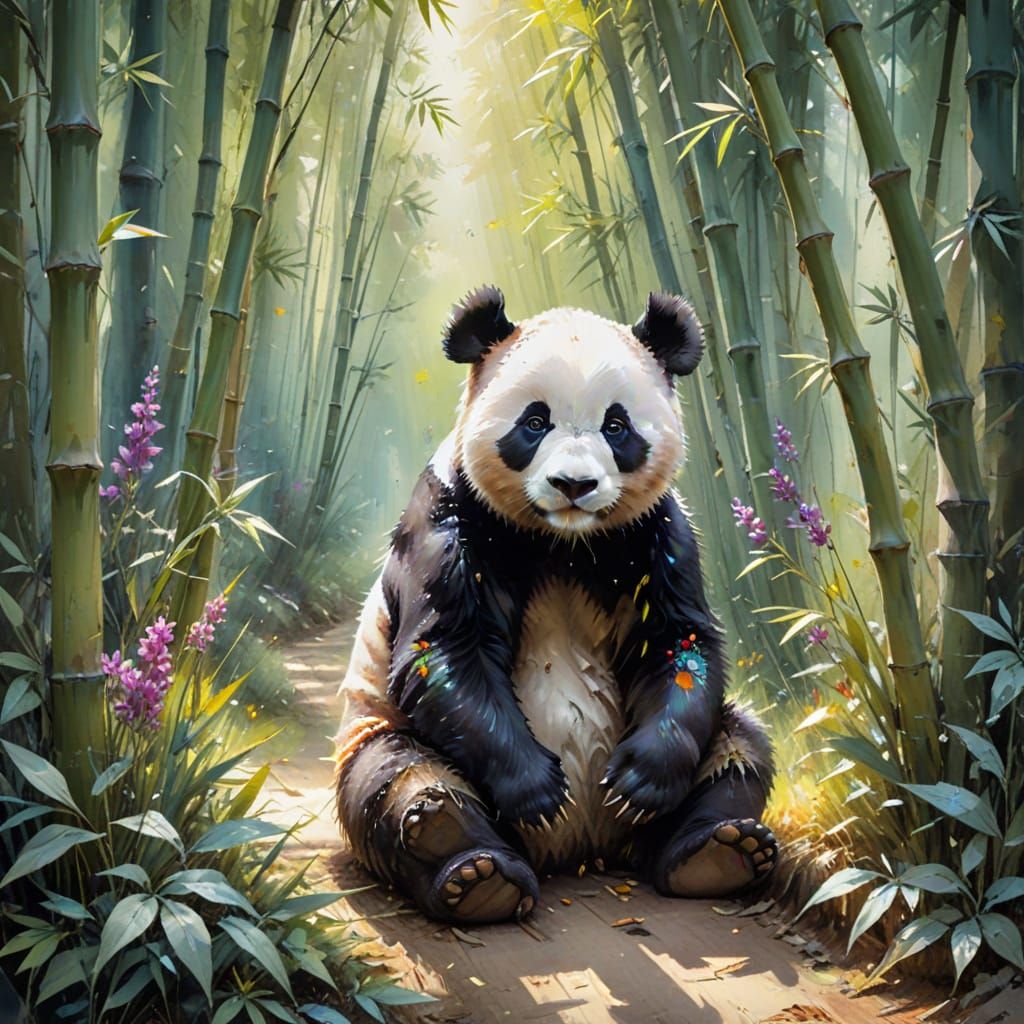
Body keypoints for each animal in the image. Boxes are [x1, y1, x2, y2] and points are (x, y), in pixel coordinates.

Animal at [334, 287, 776, 924]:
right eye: (534, 422)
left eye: (616, 426)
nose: (574, 485)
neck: (562, 541)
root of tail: (579, 849)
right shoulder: (450, 513)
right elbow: (445, 648)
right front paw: (537, 790)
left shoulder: (655, 531)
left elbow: (678, 640)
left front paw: (638, 781)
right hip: (376, 733)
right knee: (395, 775)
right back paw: (469, 864)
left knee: (740, 745)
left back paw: (716, 851)